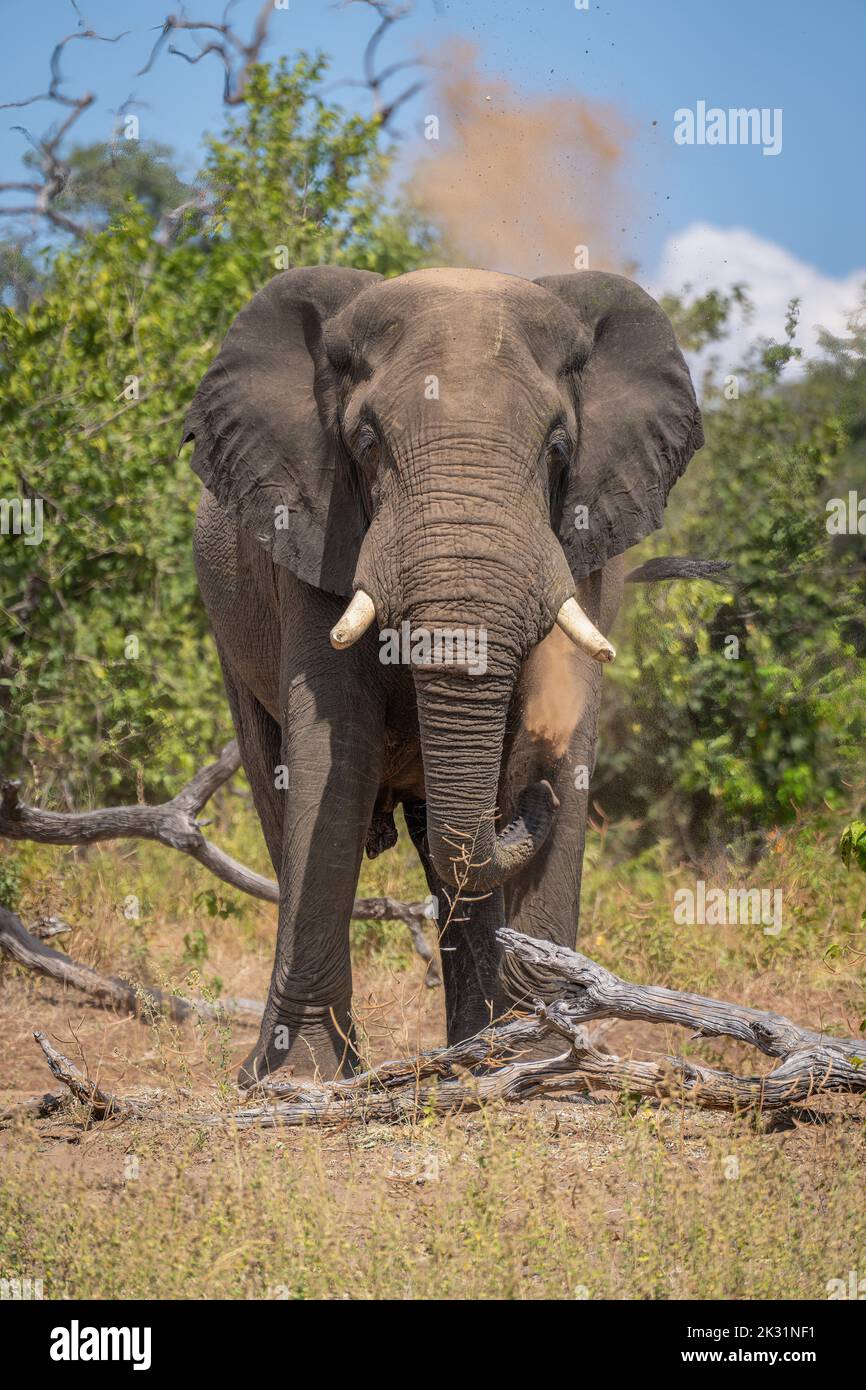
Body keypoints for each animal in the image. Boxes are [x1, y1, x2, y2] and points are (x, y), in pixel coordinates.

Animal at [184, 265, 703, 1086]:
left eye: (559, 446)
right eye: (366, 443)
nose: (532, 804)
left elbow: (563, 735)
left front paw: (546, 1062)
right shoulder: (316, 532)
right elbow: (335, 754)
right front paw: (303, 1081)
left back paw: (479, 1053)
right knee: (279, 791)